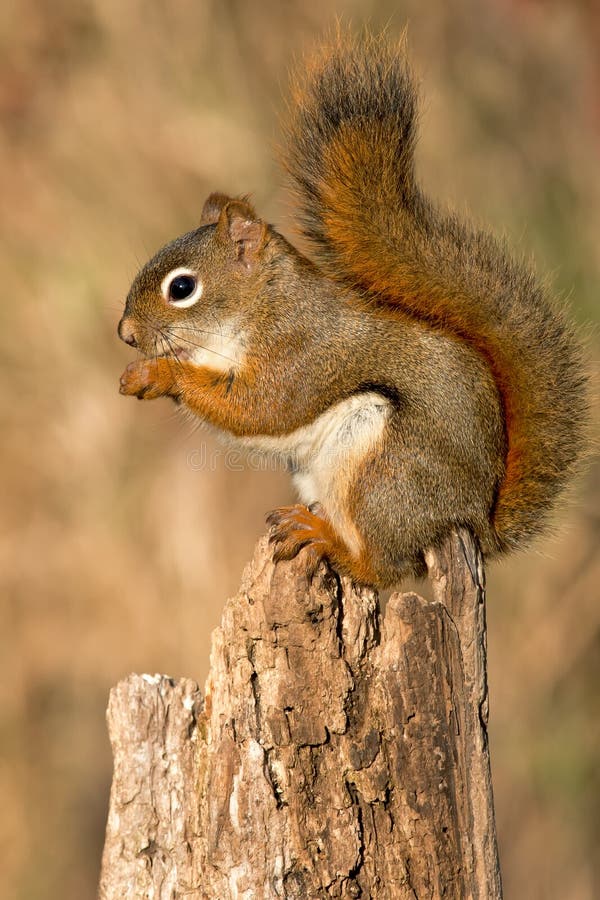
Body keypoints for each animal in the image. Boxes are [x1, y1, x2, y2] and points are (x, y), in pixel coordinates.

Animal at [118, 33, 588, 588]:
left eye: (182, 287)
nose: (125, 333)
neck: (261, 307)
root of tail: (474, 518)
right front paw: (139, 373)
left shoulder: (303, 351)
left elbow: (261, 406)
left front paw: (159, 373)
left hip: (386, 475)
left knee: (384, 566)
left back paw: (329, 543)